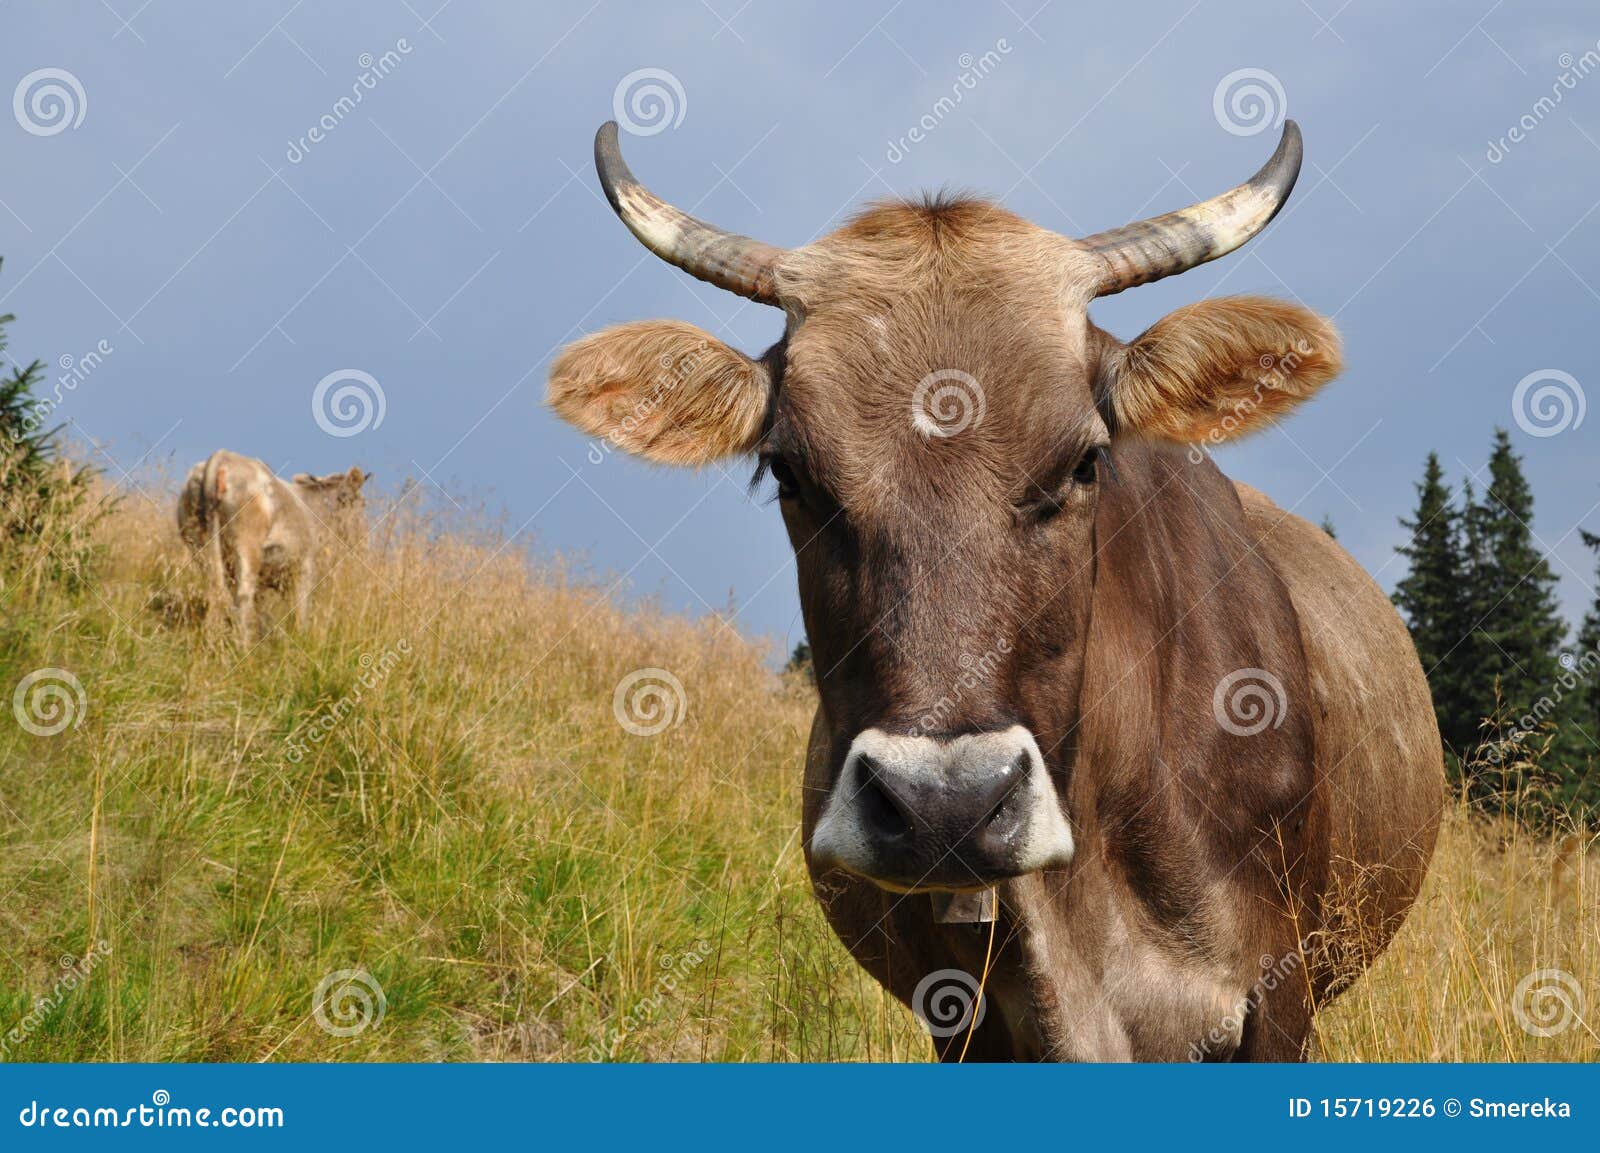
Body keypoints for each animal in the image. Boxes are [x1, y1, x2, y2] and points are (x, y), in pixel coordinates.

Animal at [177, 450, 369, 642]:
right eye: (361, 503)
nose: (364, 539)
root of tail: (222, 456)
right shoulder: (304, 568)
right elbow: (300, 610)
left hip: (199, 544)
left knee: (216, 591)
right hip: (248, 544)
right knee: (243, 594)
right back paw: (245, 645)